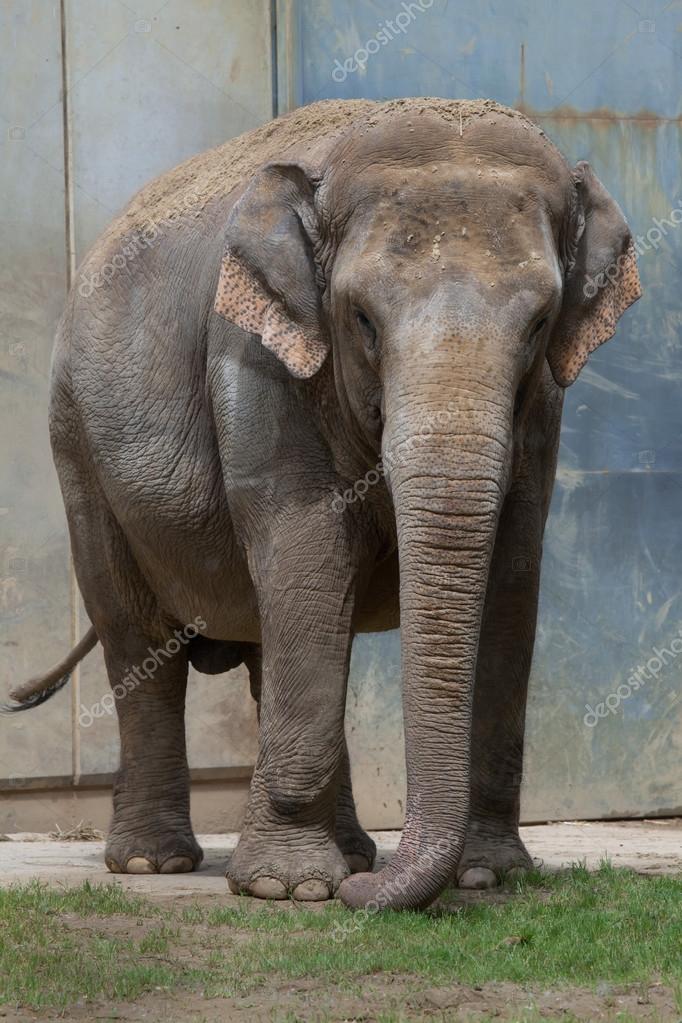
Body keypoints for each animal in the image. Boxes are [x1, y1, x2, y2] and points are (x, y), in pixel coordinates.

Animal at [5, 97, 641, 911]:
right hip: (76, 444)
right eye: (362, 320)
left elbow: (511, 576)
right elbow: (305, 552)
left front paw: (488, 874)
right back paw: (155, 863)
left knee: (269, 645)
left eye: (537, 325)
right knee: (138, 639)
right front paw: (291, 889)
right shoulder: (256, 362)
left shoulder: (542, 410)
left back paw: (349, 850)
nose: (365, 894)